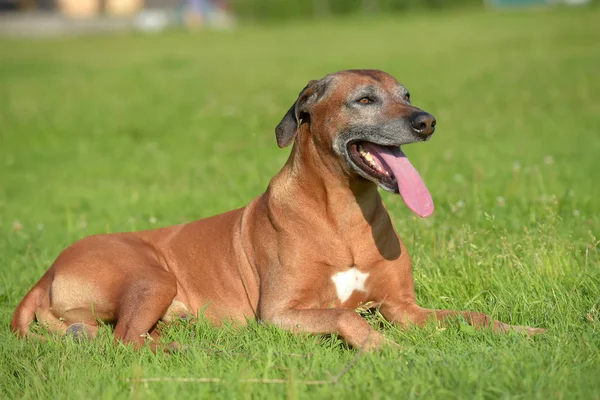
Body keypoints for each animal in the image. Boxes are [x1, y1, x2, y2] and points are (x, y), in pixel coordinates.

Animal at [10, 69, 544, 350]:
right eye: (364, 99)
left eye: (407, 95)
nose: (427, 121)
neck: (343, 213)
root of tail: (48, 269)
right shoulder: (281, 313)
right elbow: (346, 318)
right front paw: (384, 347)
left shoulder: (402, 306)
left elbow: (473, 316)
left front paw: (523, 329)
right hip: (150, 273)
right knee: (124, 337)